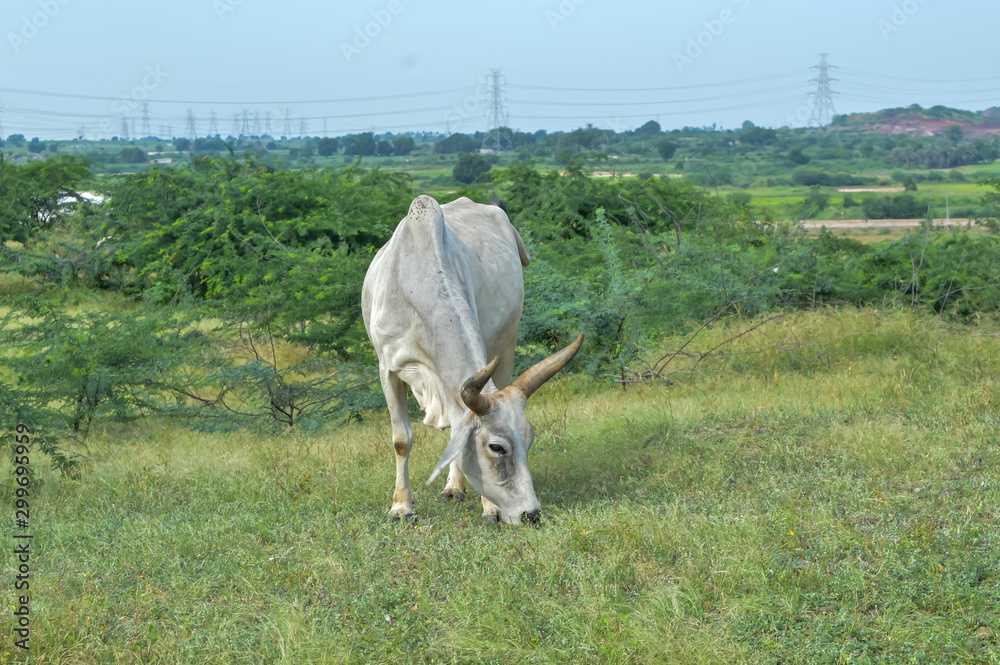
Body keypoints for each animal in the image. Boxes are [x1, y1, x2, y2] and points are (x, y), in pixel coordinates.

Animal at [362, 194, 583, 525]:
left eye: (530, 440)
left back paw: (455, 487)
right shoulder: (386, 369)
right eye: (496, 447)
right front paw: (401, 506)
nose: (531, 513)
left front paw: (489, 508)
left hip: (506, 343)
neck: (414, 283)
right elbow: (401, 439)